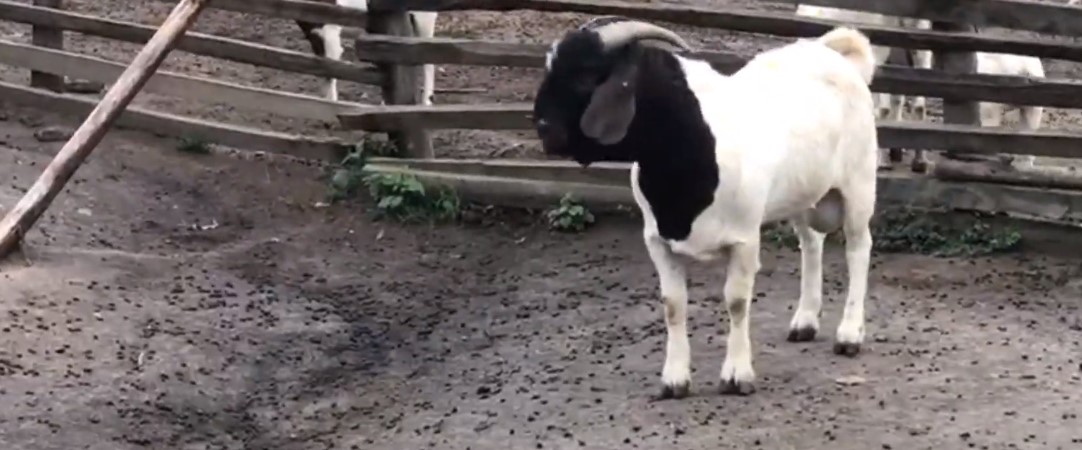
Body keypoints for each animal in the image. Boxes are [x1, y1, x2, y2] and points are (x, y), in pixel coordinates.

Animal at [295, 0, 438, 104]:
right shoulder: (314, 34)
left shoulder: (330, 30)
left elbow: (330, 71)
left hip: (424, 20)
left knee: (428, 61)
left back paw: (426, 101)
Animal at [533, 18, 879, 397]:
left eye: (585, 76)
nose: (543, 128)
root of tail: (834, 54)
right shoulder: (657, 240)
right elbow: (673, 304)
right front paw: (674, 379)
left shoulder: (744, 238)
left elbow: (737, 301)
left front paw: (737, 375)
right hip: (804, 192)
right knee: (811, 244)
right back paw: (804, 322)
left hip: (859, 184)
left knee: (858, 249)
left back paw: (849, 335)